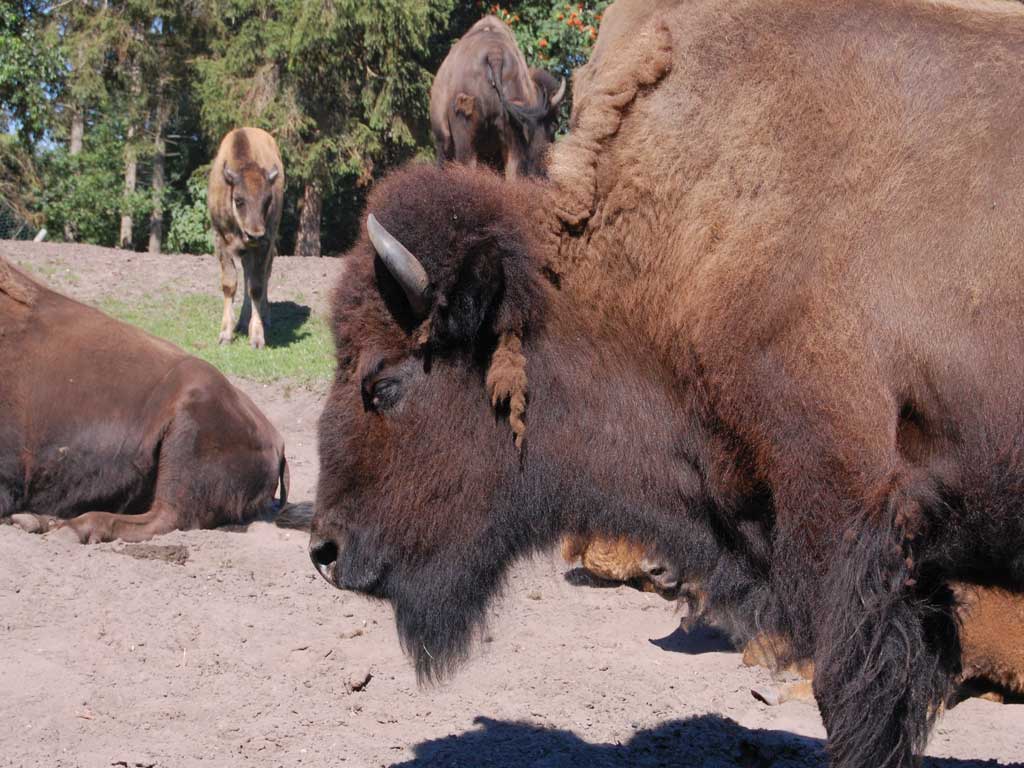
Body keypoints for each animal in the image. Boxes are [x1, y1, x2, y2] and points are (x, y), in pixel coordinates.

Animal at [208, 127, 284, 349]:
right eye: (239, 200)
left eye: (268, 200)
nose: (254, 234)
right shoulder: (220, 240)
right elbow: (230, 284)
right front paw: (225, 334)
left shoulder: (265, 244)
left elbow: (256, 286)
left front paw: (257, 337)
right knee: (246, 275)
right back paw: (241, 322)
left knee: (262, 276)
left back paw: (263, 318)